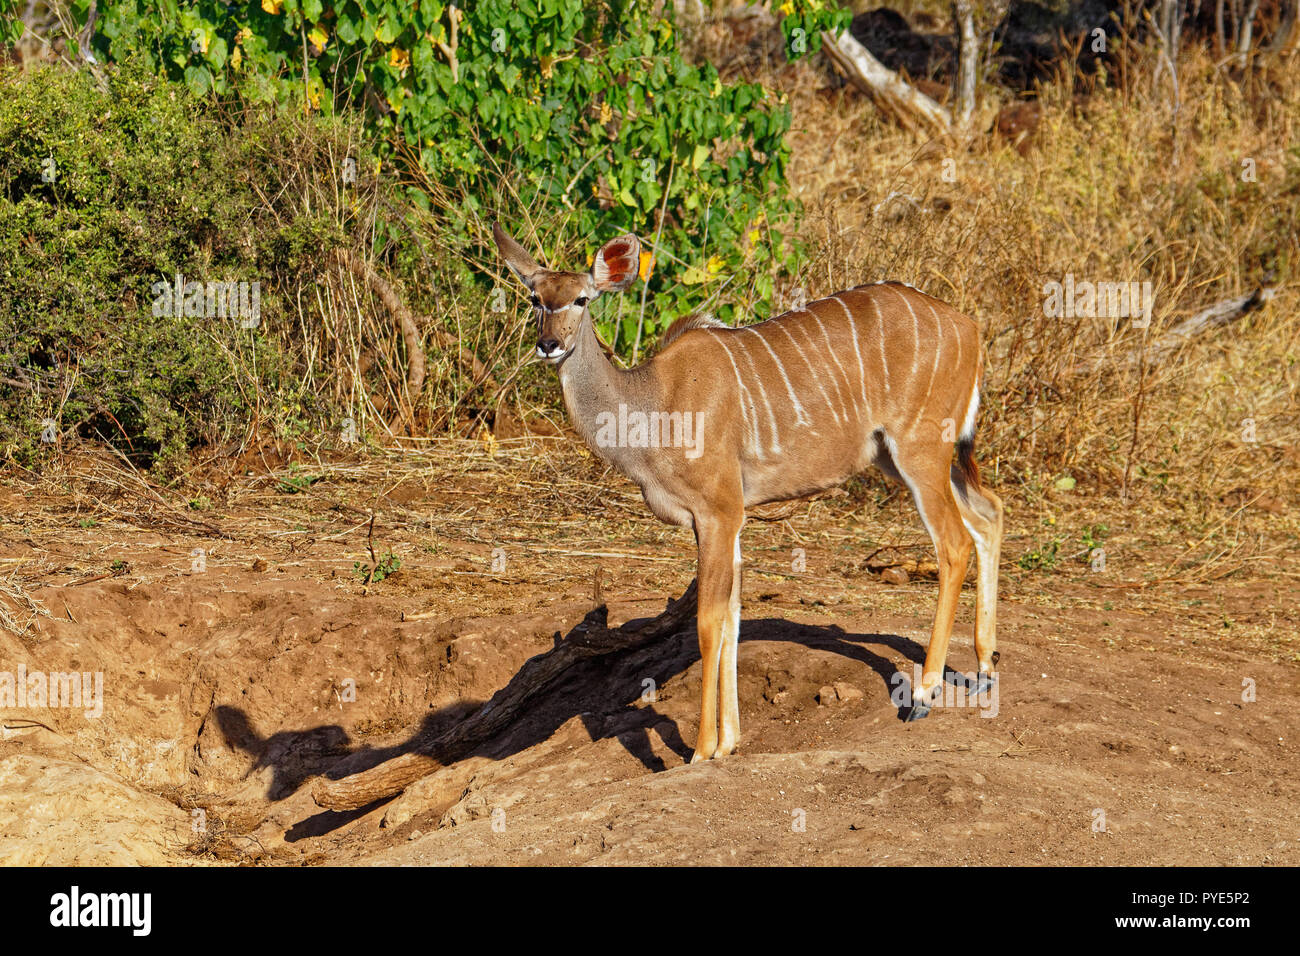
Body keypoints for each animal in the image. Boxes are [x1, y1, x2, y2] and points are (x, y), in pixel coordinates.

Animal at [493, 223, 1004, 762]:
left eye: (582, 298)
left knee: (955, 543)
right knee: (989, 512)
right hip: (906, 456)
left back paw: (924, 695)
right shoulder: (727, 520)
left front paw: (701, 751)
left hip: (920, 453)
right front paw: (729, 743)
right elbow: (733, 619)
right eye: (535, 298)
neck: (654, 404)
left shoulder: (718, 513)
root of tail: (971, 328)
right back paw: (985, 669)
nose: (548, 344)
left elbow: (708, 623)